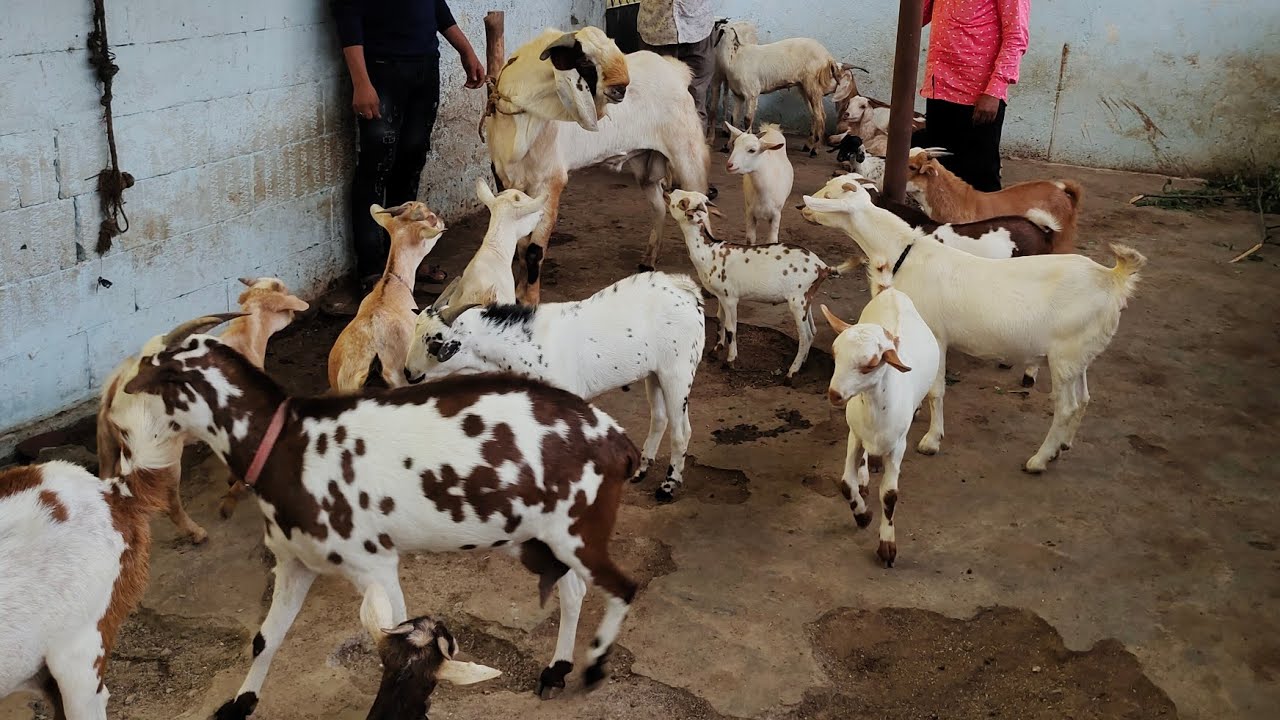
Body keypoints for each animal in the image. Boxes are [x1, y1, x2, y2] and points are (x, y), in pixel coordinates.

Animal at [405, 272, 705, 502]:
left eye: (435, 343)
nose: (408, 373)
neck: (524, 344)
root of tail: (687, 289)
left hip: (678, 371)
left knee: (682, 431)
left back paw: (668, 486)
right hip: (654, 372)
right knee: (660, 418)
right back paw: (642, 469)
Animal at [486, 27, 709, 301]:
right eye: (584, 61)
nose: (621, 89)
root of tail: (675, 70)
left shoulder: (550, 182)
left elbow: (534, 250)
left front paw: (530, 299)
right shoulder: (506, 179)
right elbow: (521, 244)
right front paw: (518, 291)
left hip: (688, 157)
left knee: (702, 209)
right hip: (646, 165)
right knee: (659, 208)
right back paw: (648, 261)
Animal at [668, 189, 846, 383]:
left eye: (682, 203)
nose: (669, 191)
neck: (709, 252)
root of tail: (823, 267)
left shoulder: (731, 298)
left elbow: (731, 328)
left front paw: (730, 361)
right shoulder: (721, 295)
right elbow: (719, 319)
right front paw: (715, 350)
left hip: (797, 302)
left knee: (805, 336)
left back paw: (791, 373)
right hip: (807, 299)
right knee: (813, 331)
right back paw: (803, 364)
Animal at [801, 176, 1146, 472]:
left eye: (830, 196)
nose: (802, 208)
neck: (906, 252)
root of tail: (1112, 278)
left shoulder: (934, 333)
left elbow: (936, 390)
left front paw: (931, 440)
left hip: (1064, 356)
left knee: (1067, 407)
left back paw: (1039, 459)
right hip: (1080, 354)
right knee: (1084, 398)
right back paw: (1064, 445)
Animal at [821, 289, 939, 568]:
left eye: (870, 364)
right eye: (834, 355)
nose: (835, 395)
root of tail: (892, 292)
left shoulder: (899, 444)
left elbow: (889, 494)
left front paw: (887, 545)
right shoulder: (854, 434)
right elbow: (846, 483)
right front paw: (862, 515)